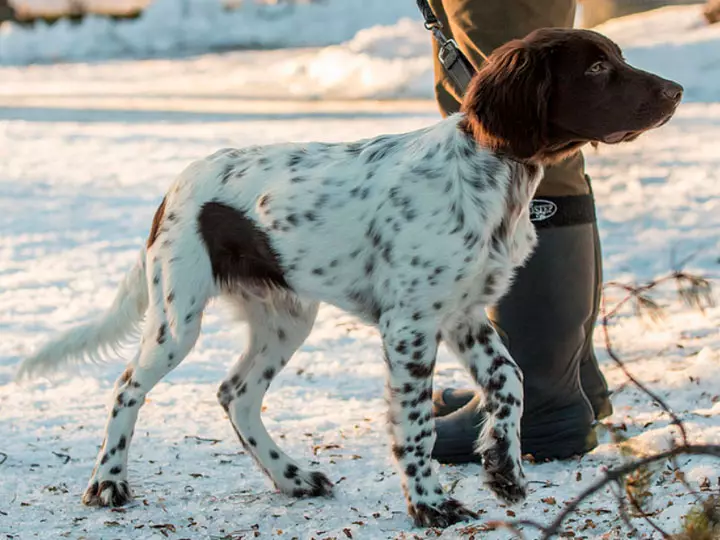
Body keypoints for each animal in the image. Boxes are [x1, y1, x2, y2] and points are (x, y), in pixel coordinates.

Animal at [16, 28, 680, 528]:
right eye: (597, 67)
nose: (676, 90)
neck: (494, 178)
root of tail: (175, 187)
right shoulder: (410, 325)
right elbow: (416, 427)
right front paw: (432, 505)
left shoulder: (464, 314)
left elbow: (510, 382)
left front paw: (504, 468)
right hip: (178, 317)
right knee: (128, 386)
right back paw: (108, 483)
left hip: (286, 317)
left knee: (235, 393)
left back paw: (291, 477)